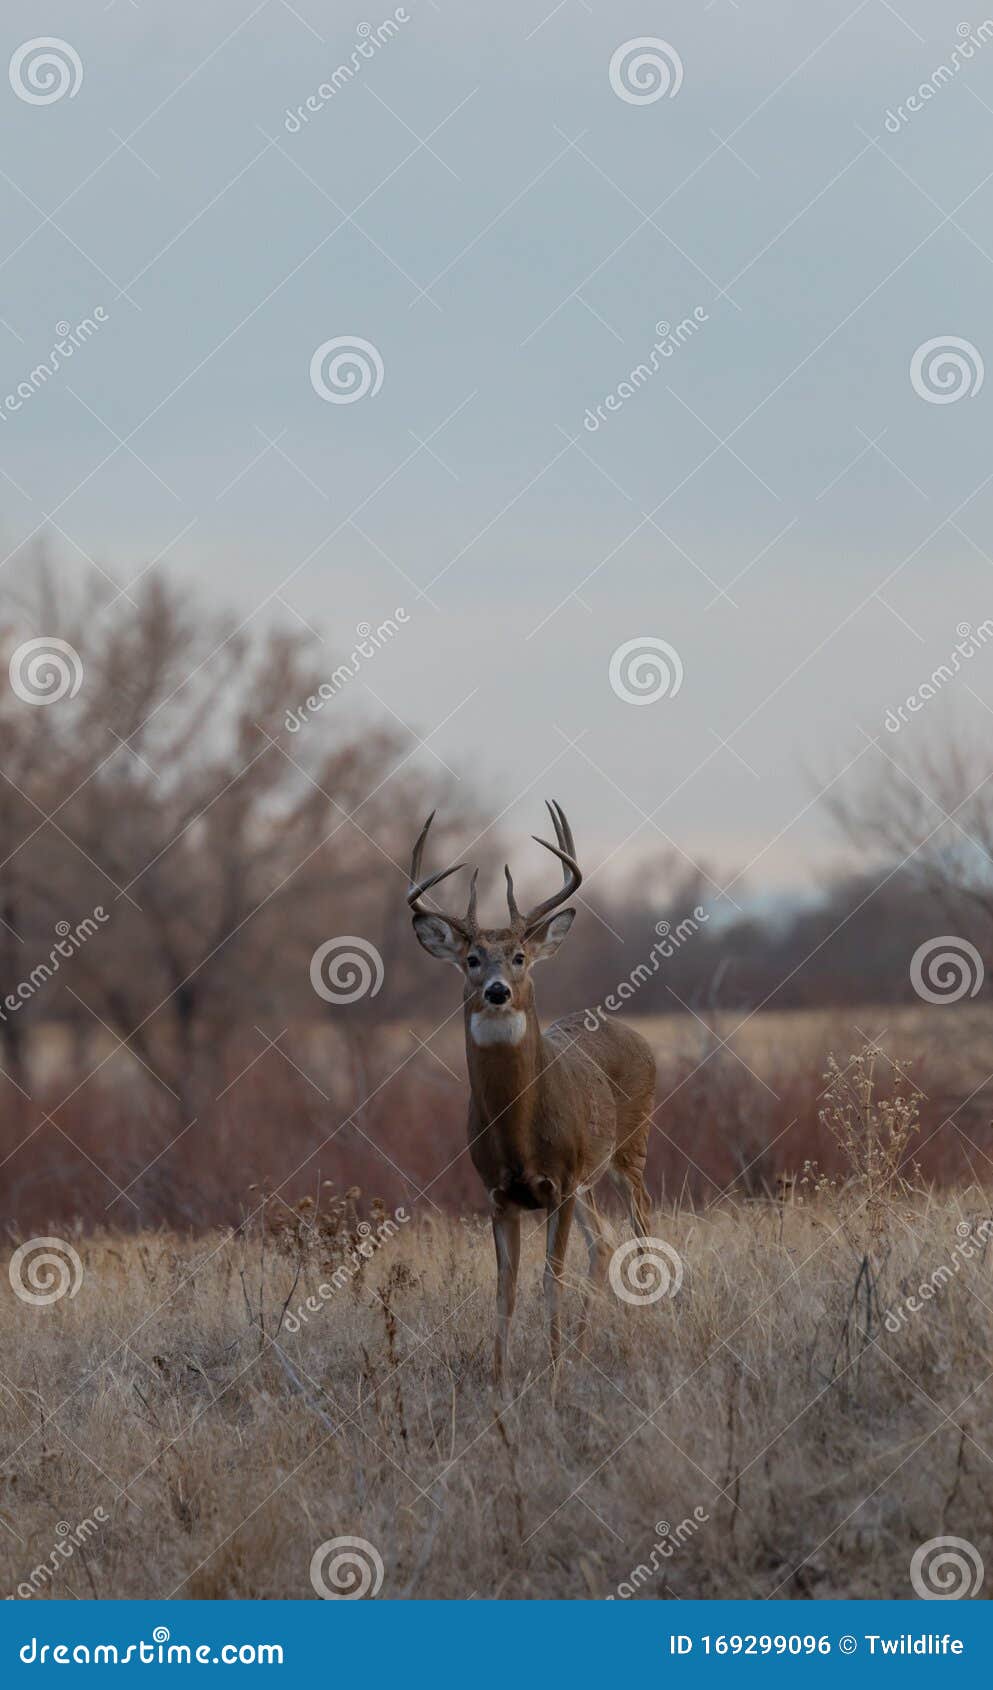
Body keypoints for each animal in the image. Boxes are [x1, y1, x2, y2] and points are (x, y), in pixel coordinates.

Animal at [407, 801, 656, 1390]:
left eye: (519, 955)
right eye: (472, 958)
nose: (497, 990)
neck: (518, 1132)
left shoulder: (559, 1185)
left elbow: (550, 1280)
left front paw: (555, 1375)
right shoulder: (499, 1193)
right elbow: (507, 1289)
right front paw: (500, 1380)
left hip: (630, 1149)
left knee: (642, 1233)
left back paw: (649, 1335)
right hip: (589, 1179)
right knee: (604, 1241)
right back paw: (589, 1350)